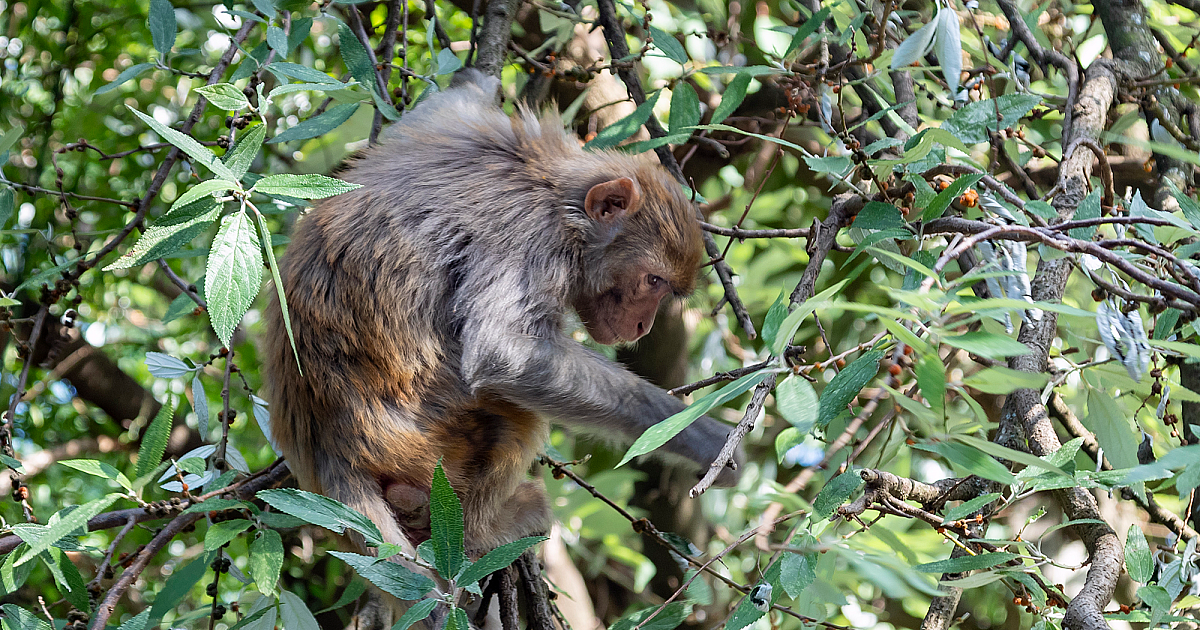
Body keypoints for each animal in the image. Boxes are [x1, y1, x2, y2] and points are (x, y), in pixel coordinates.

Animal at [263, 69, 739, 566]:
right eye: (652, 280)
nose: (643, 325)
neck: (551, 187)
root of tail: (328, 451)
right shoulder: (534, 240)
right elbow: (502, 354)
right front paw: (695, 433)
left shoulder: (453, 128)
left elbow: (438, 111)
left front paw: (476, 78)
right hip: (433, 443)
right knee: (518, 415)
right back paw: (484, 530)